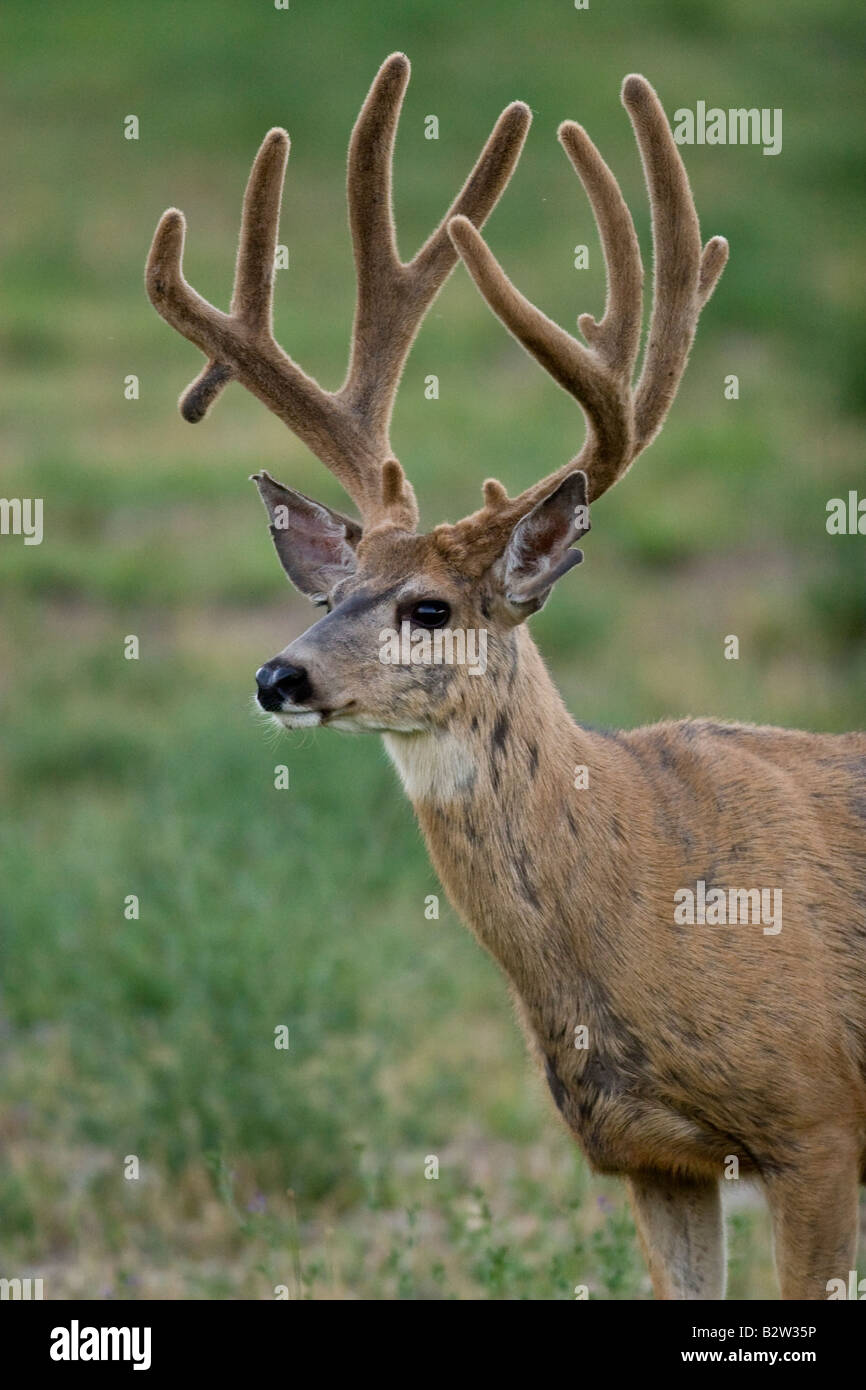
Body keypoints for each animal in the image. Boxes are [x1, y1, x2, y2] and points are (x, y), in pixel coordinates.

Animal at [146, 54, 866, 1301]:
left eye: (430, 607)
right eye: (328, 595)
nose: (278, 676)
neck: (648, 892)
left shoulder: (816, 1123)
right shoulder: (647, 1152)